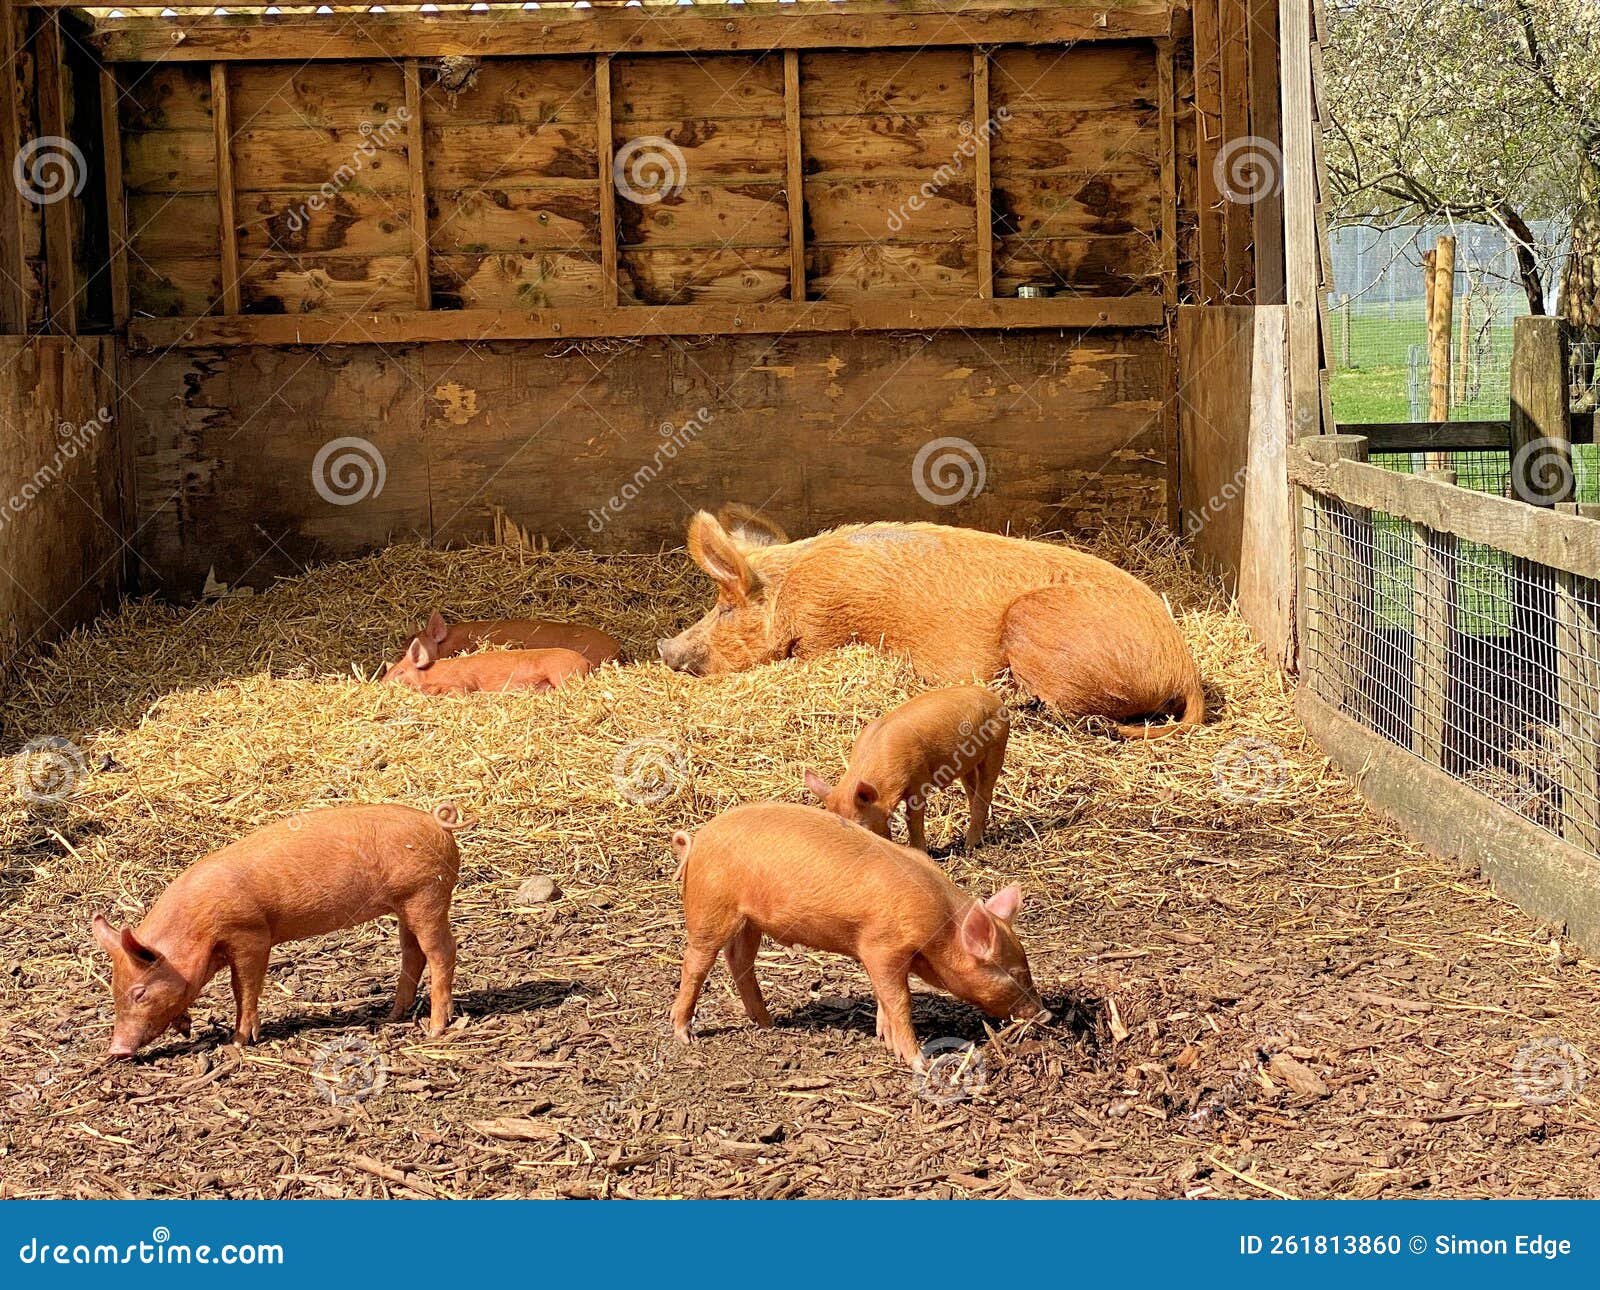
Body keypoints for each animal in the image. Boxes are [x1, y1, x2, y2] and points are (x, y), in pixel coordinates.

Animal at [91, 803, 463, 1057]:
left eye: (139, 993)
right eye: (114, 989)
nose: (116, 1050)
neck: (197, 930)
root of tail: (438, 823)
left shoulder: (251, 935)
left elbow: (243, 988)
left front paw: (239, 1041)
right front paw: (187, 1030)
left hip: (426, 895)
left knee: (443, 950)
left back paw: (434, 1030)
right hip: (404, 904)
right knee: (412, 952)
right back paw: (393, 1015)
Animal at [656, 505, 1204, 739]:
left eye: (726, 607)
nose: (664, 649)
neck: (792, 591)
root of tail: (1184, 669)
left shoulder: (822, 630)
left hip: (1033, 622)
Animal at [669, 802, 1046, 1067]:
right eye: (1013, 973)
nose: (1046, 1014)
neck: (942, 926)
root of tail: (698, 841)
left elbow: (885, 997)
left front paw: (885, 1039)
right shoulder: (882, 946)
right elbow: (900, 999)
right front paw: (919, 1062)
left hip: (749, 919)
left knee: (740, 961)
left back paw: (769, 1023)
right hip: (711, 906)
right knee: (695, 963)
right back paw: (684, 1034)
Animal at [805, 686, 1009, 851]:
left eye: (862, 827)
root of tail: (996, 699)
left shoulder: (919, 779)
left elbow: (913, 819)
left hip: (997, 745)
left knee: (985, 793)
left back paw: (970, 846)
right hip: (969, 763)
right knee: (972, 793)